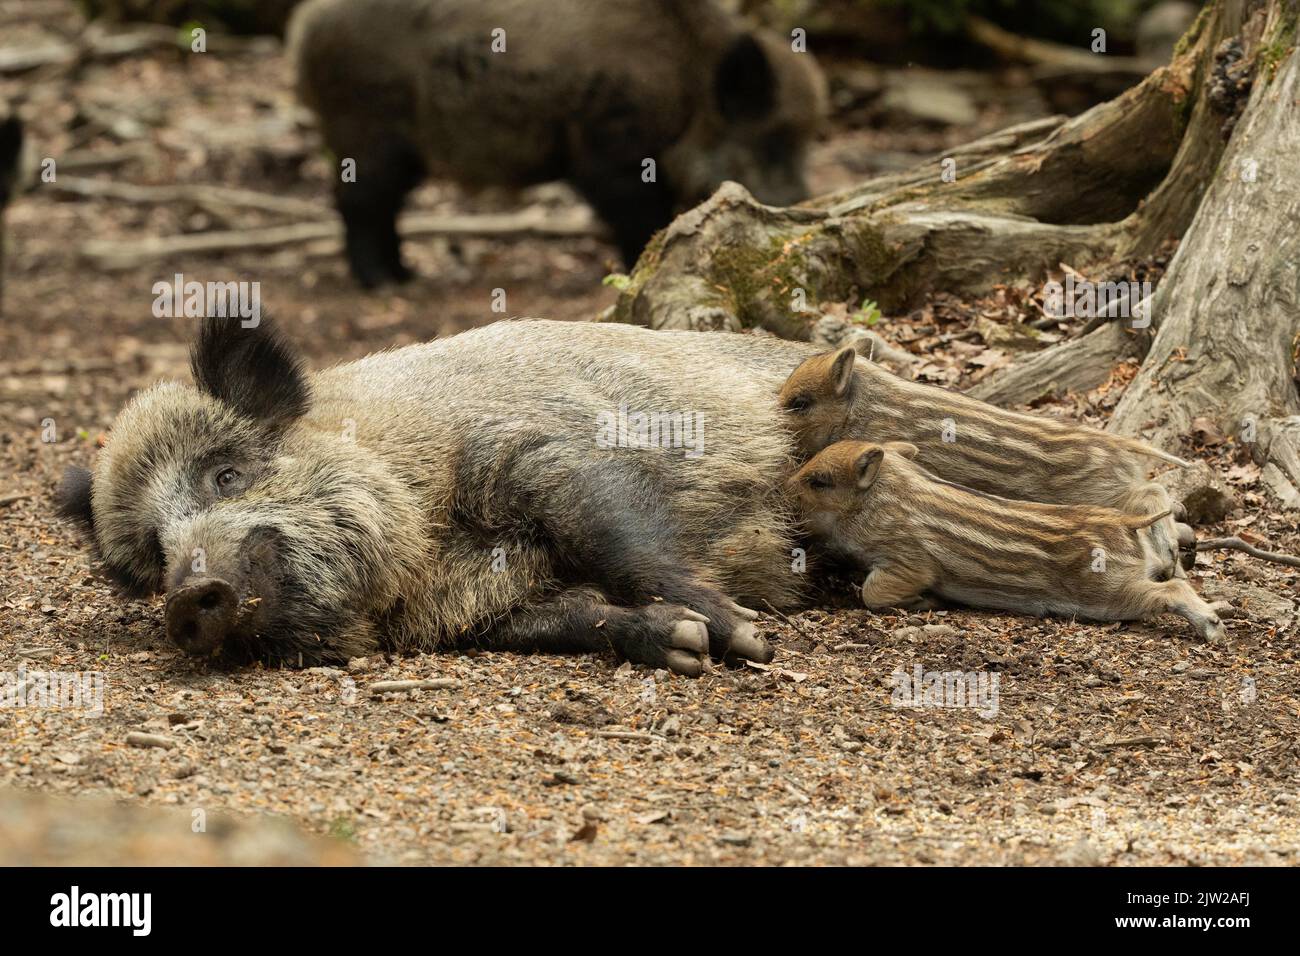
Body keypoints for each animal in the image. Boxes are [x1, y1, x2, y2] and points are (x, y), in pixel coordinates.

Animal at [286, 0, 828, 286]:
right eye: (769, 139)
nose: (800, 203)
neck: (686, 84)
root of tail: (304, 30)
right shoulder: (610, 151)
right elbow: (639, 217)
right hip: (366, 129)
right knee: (360, 202)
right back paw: (386, 283)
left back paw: (407, 274)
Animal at [785, 440, 1227, 642]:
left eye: (819, 481)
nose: (783, 489)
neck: (883, 498)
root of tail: (1127, 524)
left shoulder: (908, 562)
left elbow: (872, 593)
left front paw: (928, 603)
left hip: (1110, 593)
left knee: (1170, 590)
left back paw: (1214, 630)